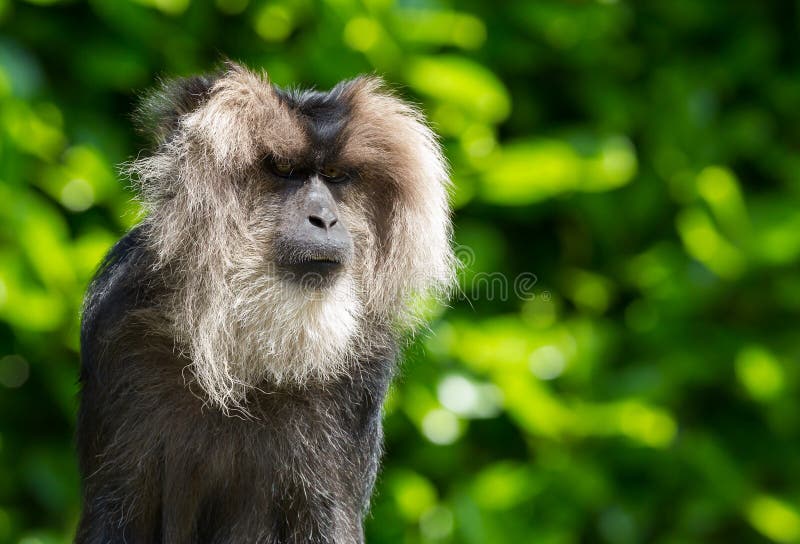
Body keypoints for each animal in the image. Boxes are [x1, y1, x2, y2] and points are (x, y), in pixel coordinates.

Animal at [75, 63, 454, 544]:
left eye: (334, 174)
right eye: (285, 169)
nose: (325, 219)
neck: (244, 353)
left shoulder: (357, 378)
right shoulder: (121, 328)